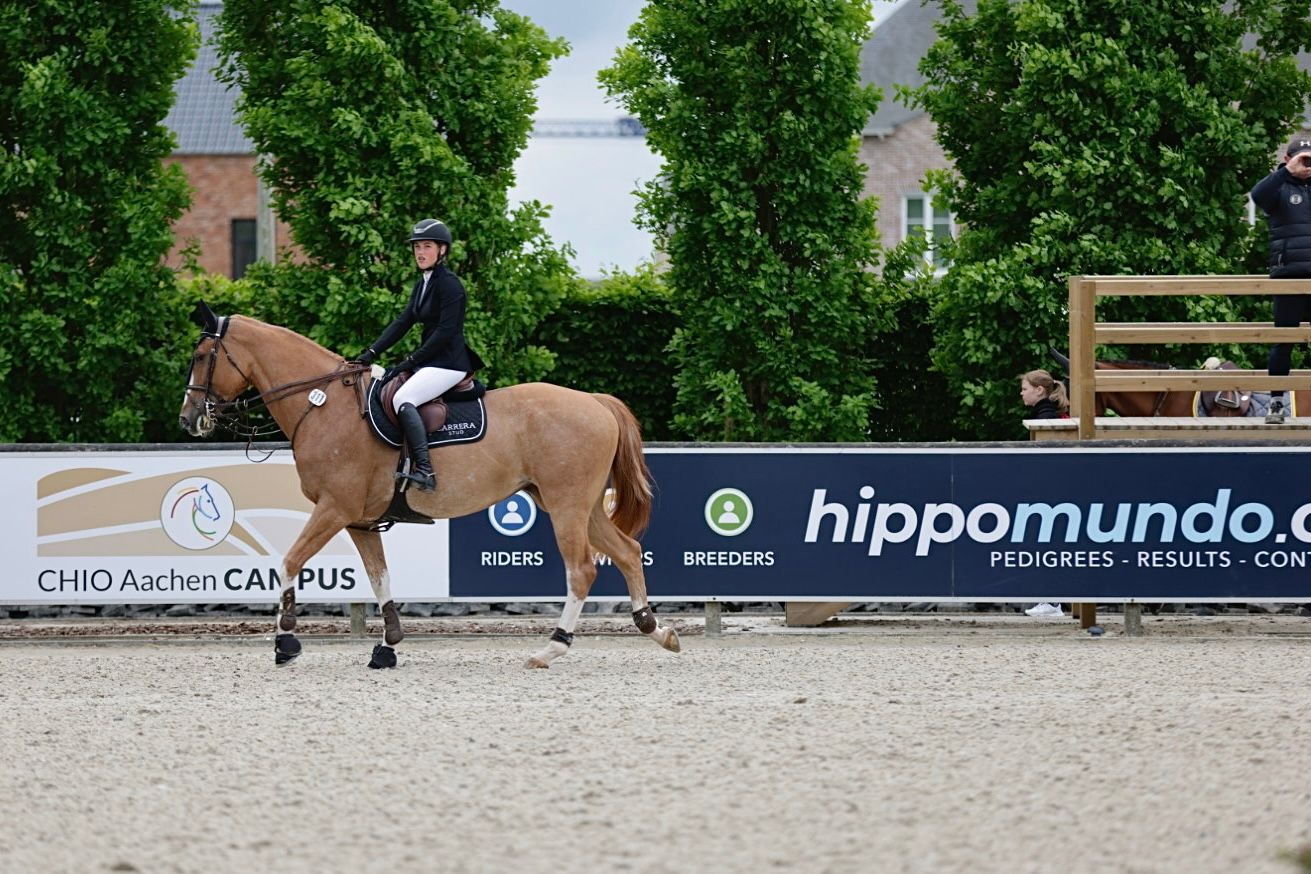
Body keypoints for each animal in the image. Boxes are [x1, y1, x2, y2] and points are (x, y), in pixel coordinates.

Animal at [178, 302, 681, 669]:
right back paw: (657, 630)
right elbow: (379, 578)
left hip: (567, 506)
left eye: (201, 357)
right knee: (627, 551)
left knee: (582, 570)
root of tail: (594, 402)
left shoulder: (334, 509)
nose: (189, 420)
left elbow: (289, 561)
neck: (321, 406)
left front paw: (285, 642)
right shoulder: (360, 521)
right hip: (579, 505)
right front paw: (388, 646)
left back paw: (552, 648)